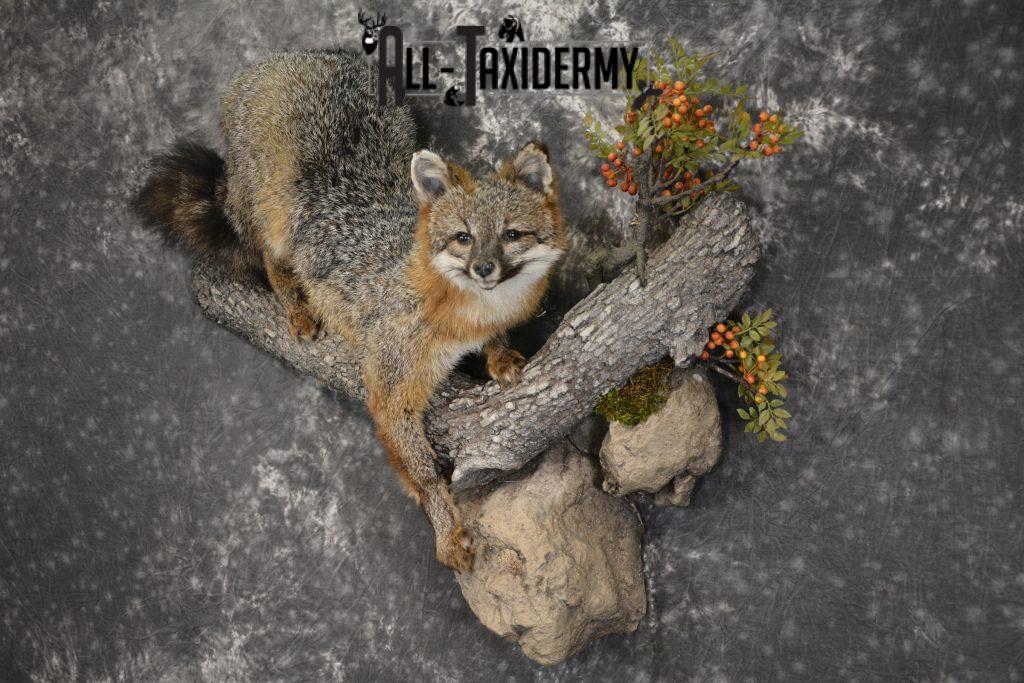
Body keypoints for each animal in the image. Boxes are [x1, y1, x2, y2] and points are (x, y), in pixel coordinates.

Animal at [134, 50, 566, 572]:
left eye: (511, 235)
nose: (483, 268)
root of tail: (283, 58)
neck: (466, 314)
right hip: (274, 216)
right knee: (268, 255)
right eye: (463, 238)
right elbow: (422, 473)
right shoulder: (389, 386)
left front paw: (499, 354)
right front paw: (446, 530)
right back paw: (296, 307)